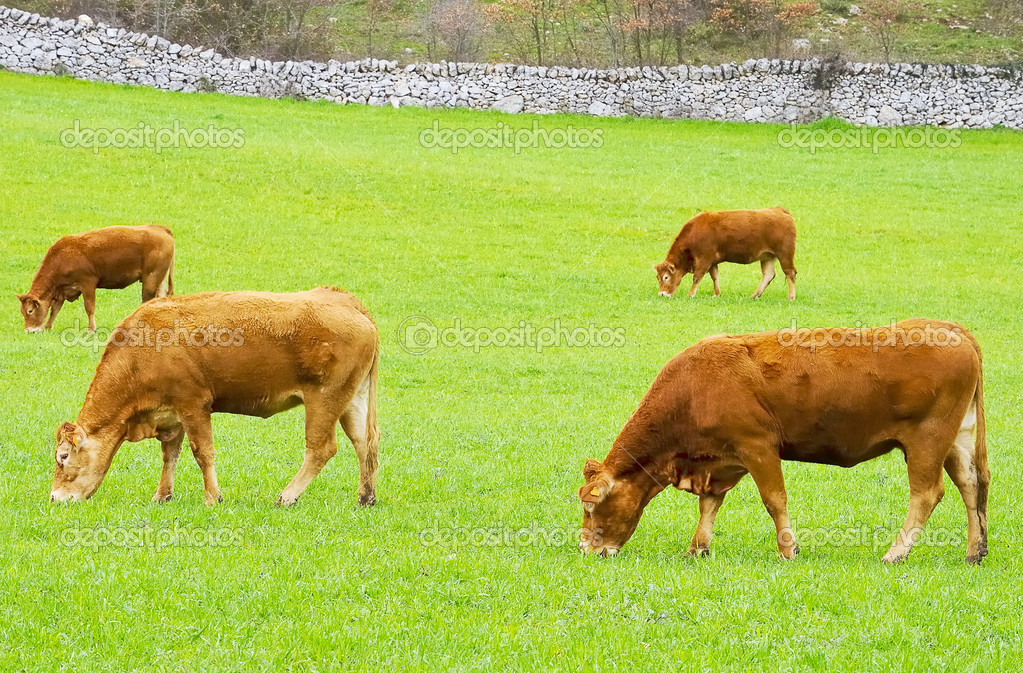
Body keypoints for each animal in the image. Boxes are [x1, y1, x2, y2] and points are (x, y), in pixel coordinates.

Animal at [17, 224, 175, 333]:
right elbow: (55, 309)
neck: (62, 257)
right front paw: (48, 327)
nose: (29, 331)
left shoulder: (87, 284)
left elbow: (89, 307)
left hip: (150, 279)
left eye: (30, 311)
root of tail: (160, 228)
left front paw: (91, 329)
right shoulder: (62, 290)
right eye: (22, 311)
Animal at [49, 286, 380, 508]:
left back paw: (287, 496)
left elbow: (202, 452)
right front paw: (162, 495)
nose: (54, 497)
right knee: (366, 442)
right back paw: (366, 496)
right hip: (352, 399)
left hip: (324, 400)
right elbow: (170, 455)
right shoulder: (172, 414)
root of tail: (347, 301)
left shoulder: (194, 404)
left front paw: (213, 497)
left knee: (321, 449)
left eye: (63, 457)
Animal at [578, 319, 989, 565]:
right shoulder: (721, 460)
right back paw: (975, 550)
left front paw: (788, 548)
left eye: (591, 504)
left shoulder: (758, 446)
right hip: (957, 439)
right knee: (973, 486)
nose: (585, 547)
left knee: (928, 493)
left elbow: (774, 500)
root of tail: (948, 328)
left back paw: (895, 553)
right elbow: (709, 505)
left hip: (927, 441)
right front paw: (698, 547)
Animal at [654, 207, 797, 301]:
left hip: (785, 254)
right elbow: (715, 276)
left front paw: (691, 294)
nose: (661, 294)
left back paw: (791, 296)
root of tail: (779, 210)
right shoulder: (712, 262)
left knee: (790, 273)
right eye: (658, 278)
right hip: (768, 256)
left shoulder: (704, 259)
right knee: (768, 275)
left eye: (666, 277)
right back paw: (754, 295)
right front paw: (716, 294)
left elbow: (697, 277)